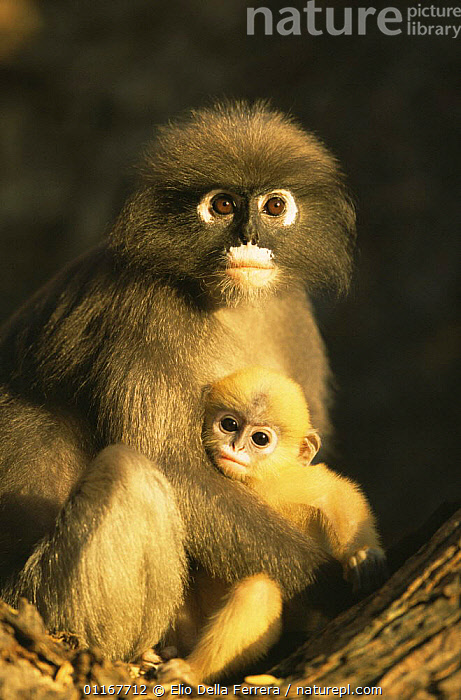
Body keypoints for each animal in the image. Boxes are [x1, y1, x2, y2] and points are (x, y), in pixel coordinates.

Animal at [0, 101, 356, 661]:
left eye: (274, 206)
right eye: (224, 204)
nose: (249, 239)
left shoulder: (291, 309)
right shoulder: (144, 309)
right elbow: (173, 466)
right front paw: (330, 587)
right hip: (41, 599)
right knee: (132, 474)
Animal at [157, 366, 386, 683]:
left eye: (260, 439)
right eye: (229, 424)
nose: (236, 446)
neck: (255, 483)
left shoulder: (288, 482)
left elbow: (337, 494)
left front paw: (363, 555)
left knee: (259, 590)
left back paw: (191, 670)